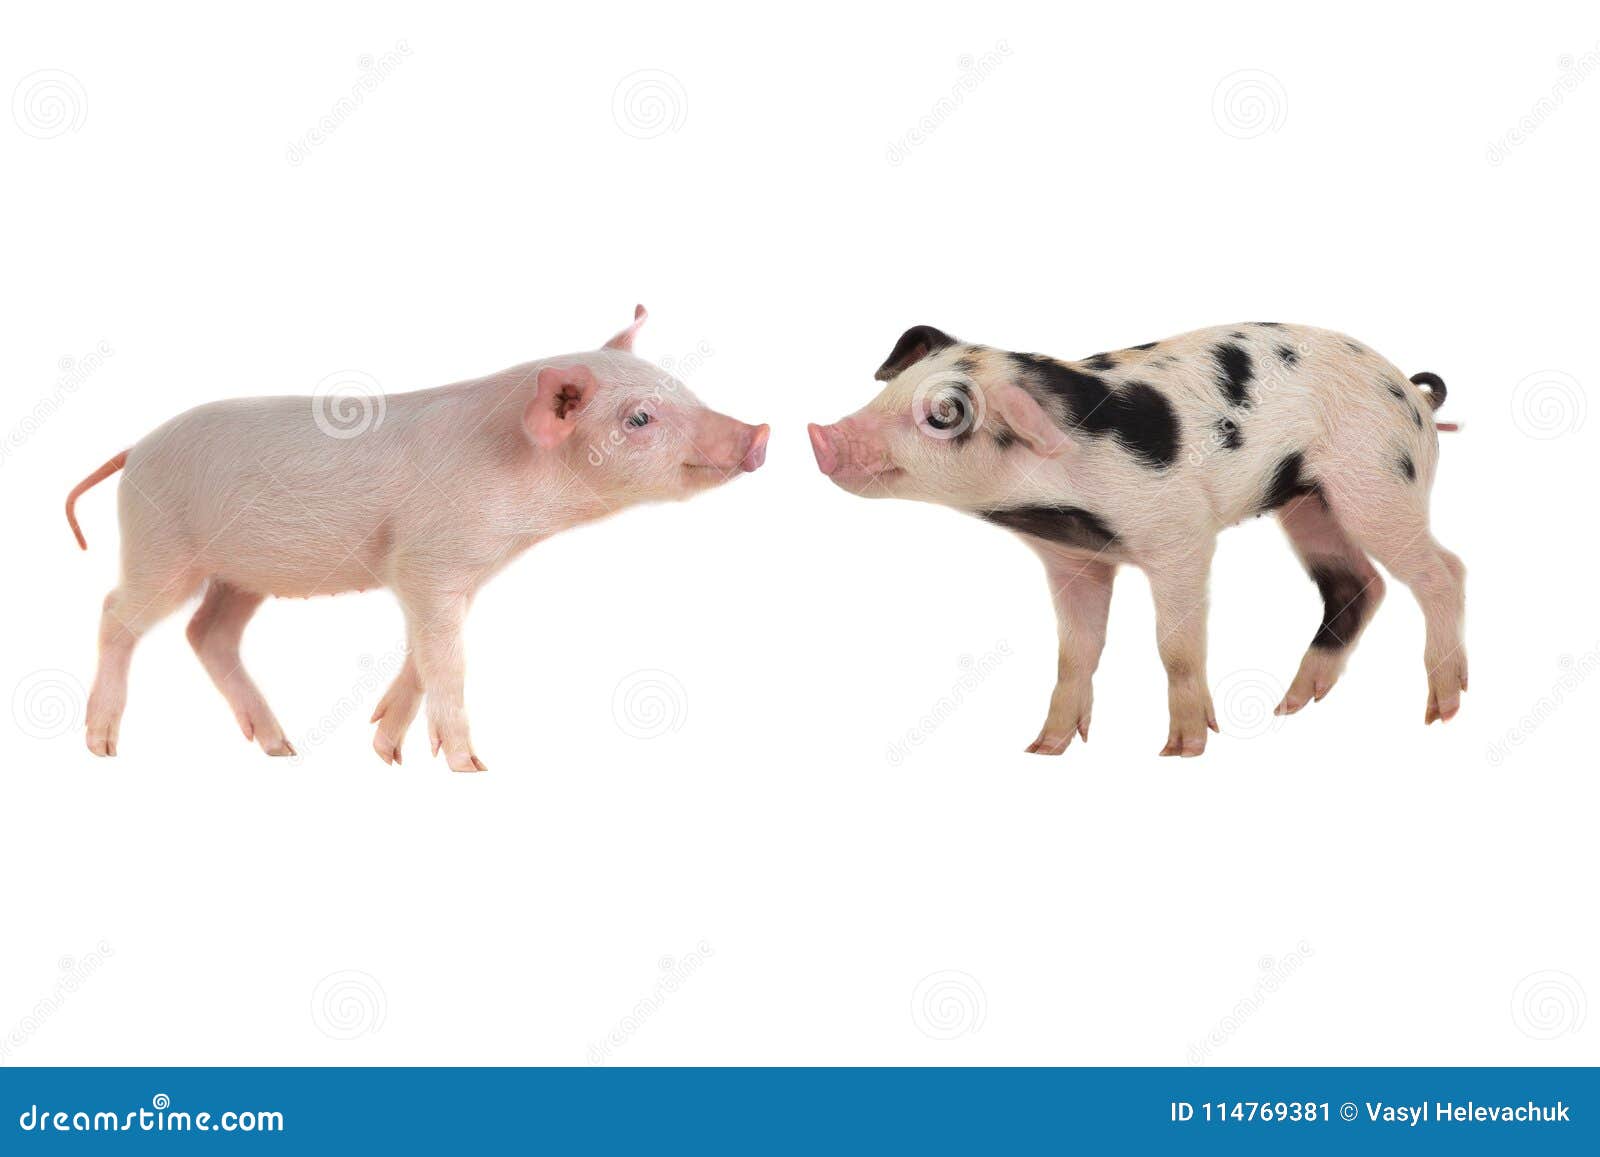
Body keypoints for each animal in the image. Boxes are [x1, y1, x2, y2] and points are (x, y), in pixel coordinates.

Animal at [66, 306, 769, 770]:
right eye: (639, 418)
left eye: (685, 390)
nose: (759, 433)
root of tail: (133, 450)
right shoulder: (428, 560)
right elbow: (448, 661)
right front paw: (469, 766)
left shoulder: (454, 573)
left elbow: (422, 655)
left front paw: (387, 752)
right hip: (161, 547)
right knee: (114, 612)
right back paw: (103, 746)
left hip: (242, 574)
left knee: (206, 633)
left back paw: (282, 749)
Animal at [808, 323, 1464, 757]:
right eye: (889, 388)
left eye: (944, 415)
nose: (820, 433)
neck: (1051, 509)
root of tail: (1411, 391)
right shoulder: (1072, 559)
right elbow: (1076, 652)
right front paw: (1044, 748)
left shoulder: (1180, 535)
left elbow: (1175, 648)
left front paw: (1183, 749)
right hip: (1309, 504)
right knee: (1359, 584)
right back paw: (1292, 704)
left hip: (1377, 481)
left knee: (1444, 570)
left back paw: (1442, 710)